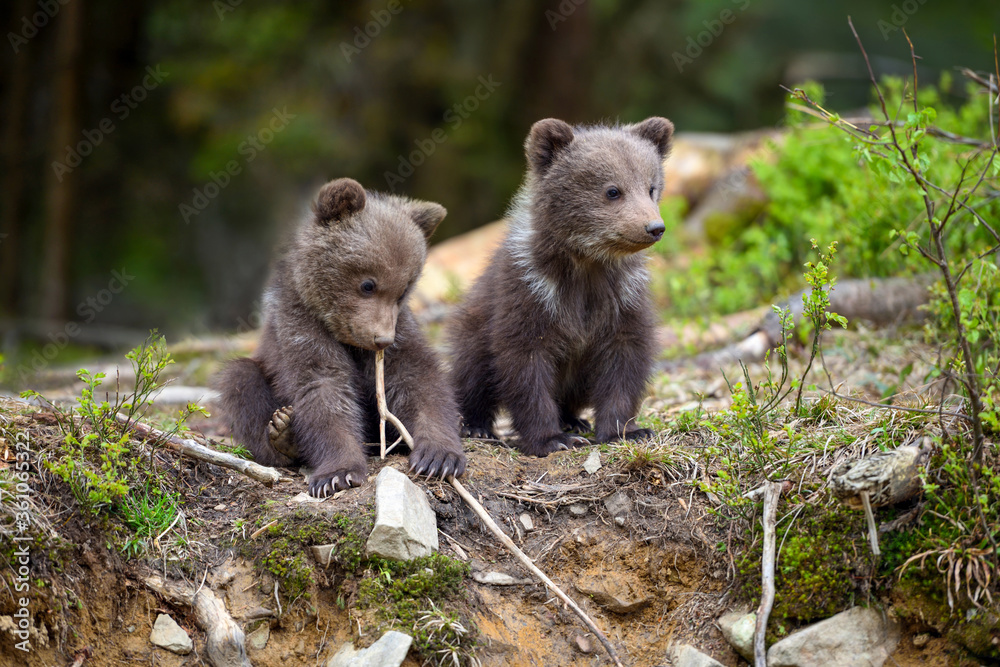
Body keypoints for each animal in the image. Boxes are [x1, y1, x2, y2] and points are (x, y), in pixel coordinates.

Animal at [216, 178, 467, 497]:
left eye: (403, 291)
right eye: (368, 284)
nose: (382, 339)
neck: (345, 336)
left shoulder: (400, 331)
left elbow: (418, 380)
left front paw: (439, 456)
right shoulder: (299, 327)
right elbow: (324, 387)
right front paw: (338, 473)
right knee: (239, 379)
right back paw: (283, 433)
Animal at [447, 116, 673, 456]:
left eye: (651, 187)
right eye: (612, 190)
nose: (654, 227)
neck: (587, 265)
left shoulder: (622, 297)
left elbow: (625, 359)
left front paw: (627, 430)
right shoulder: (531, 290)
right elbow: (525, 363)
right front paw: (551, 439)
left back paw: (573, 420)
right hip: (475, 326)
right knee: (473, 371)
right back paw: (476, 425)